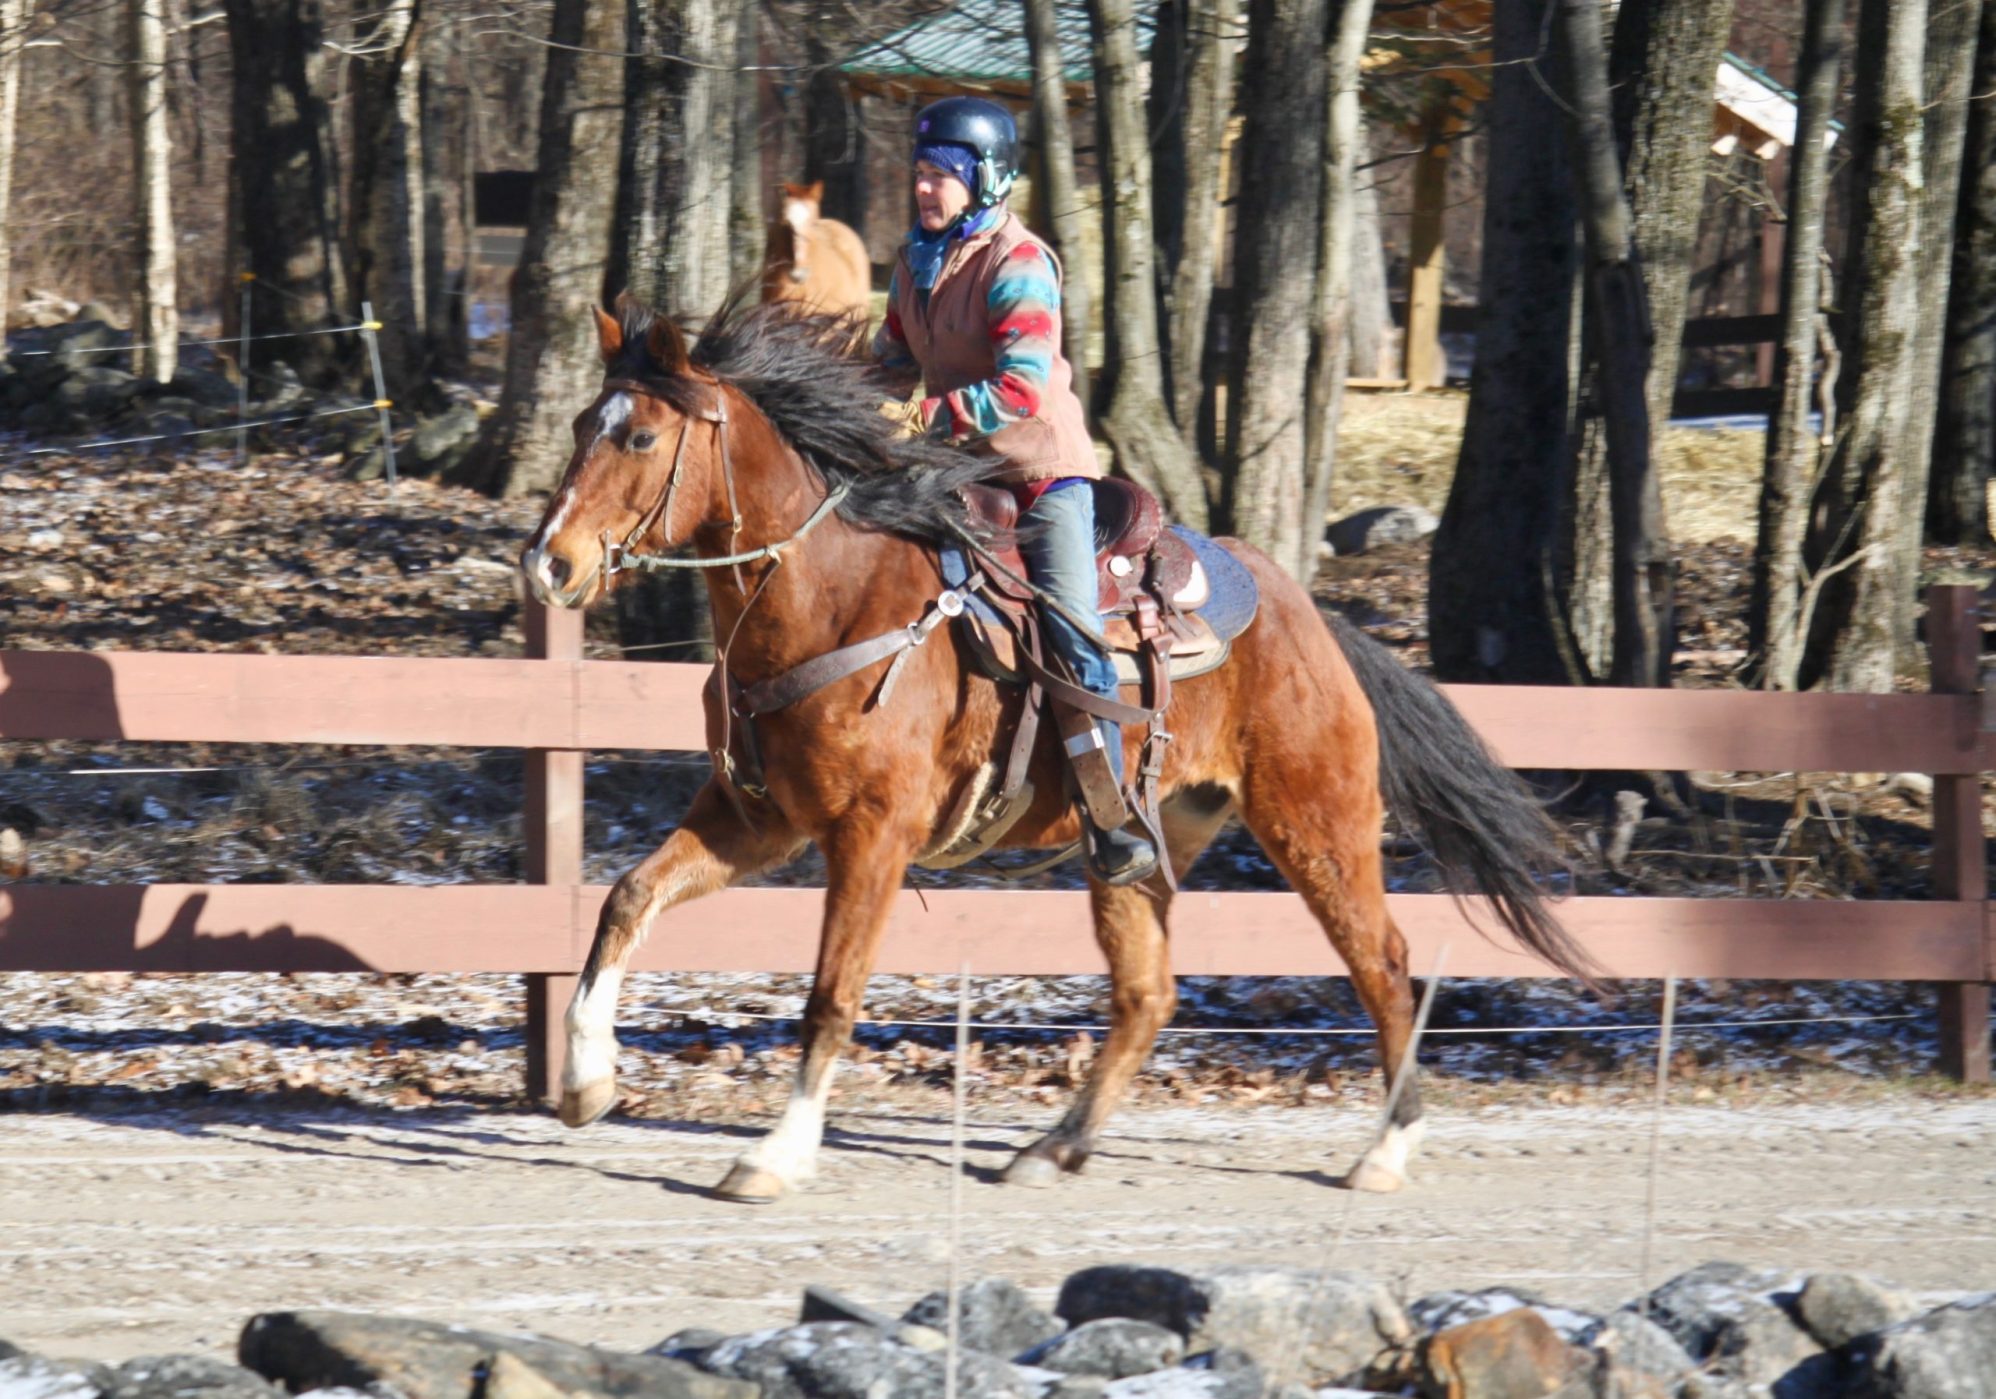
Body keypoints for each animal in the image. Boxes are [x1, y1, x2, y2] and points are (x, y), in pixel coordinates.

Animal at [518, 295, 1594, 1205]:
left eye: (640, 435)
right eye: (578, 426)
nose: (548, 563)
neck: (834, 598)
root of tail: (1311, 616)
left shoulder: (870, 836)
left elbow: (830, 994)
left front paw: (774, 1156)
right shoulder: (757, 818)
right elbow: (626, 898)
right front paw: (585, 1081)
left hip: (1315, 823)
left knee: (1382, 961)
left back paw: (1384, 1150)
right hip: (1136, 846)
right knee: (1147, 993)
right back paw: (1054, 1146)